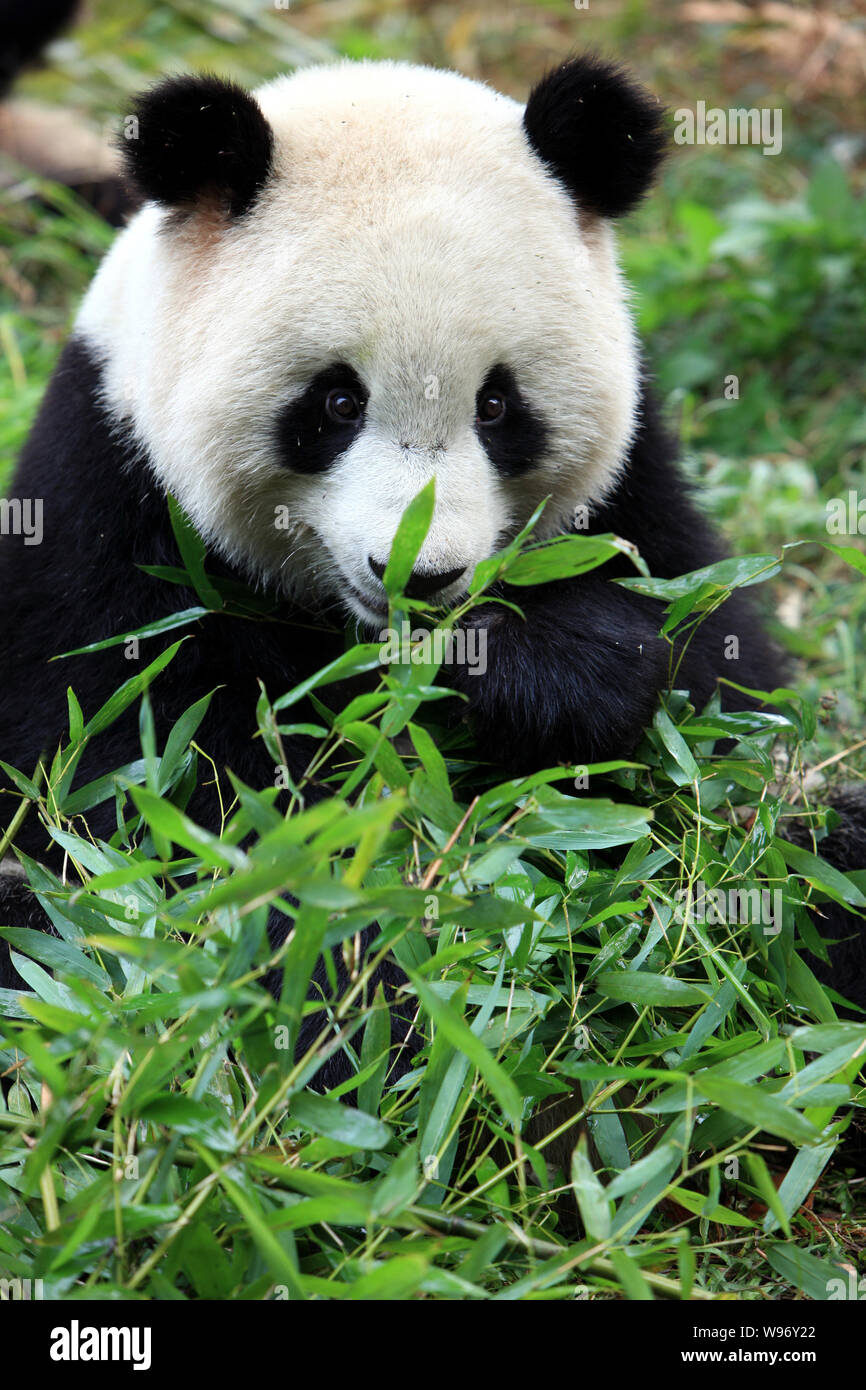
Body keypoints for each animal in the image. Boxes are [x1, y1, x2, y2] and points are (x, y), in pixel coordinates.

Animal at [1, 56, 864, 1074]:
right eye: (336, 402)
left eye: (498, 406)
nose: (420, 576)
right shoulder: (113, 521)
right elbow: (167, 802)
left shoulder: (638, 498)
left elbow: (722, 713)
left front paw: (551, 669)